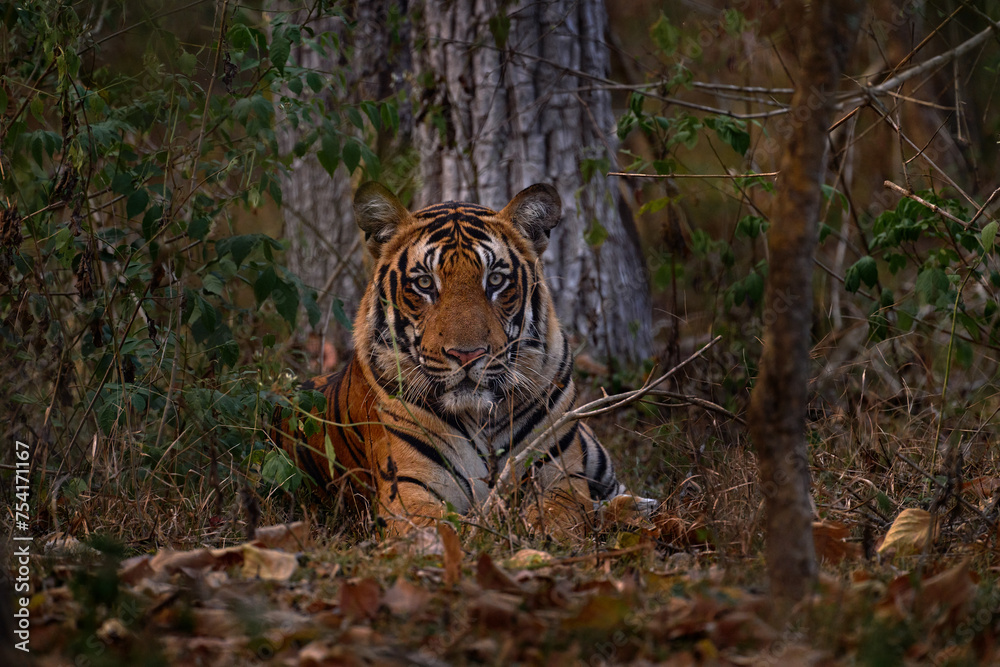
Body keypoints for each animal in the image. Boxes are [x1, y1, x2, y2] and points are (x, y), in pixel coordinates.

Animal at [273, 182, 656, 536]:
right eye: (425, 283)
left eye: (496, 280)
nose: (467, 354)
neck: (482, 417)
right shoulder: (408, 489)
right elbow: (441, 530)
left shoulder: (561, 475)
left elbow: (562, 515)